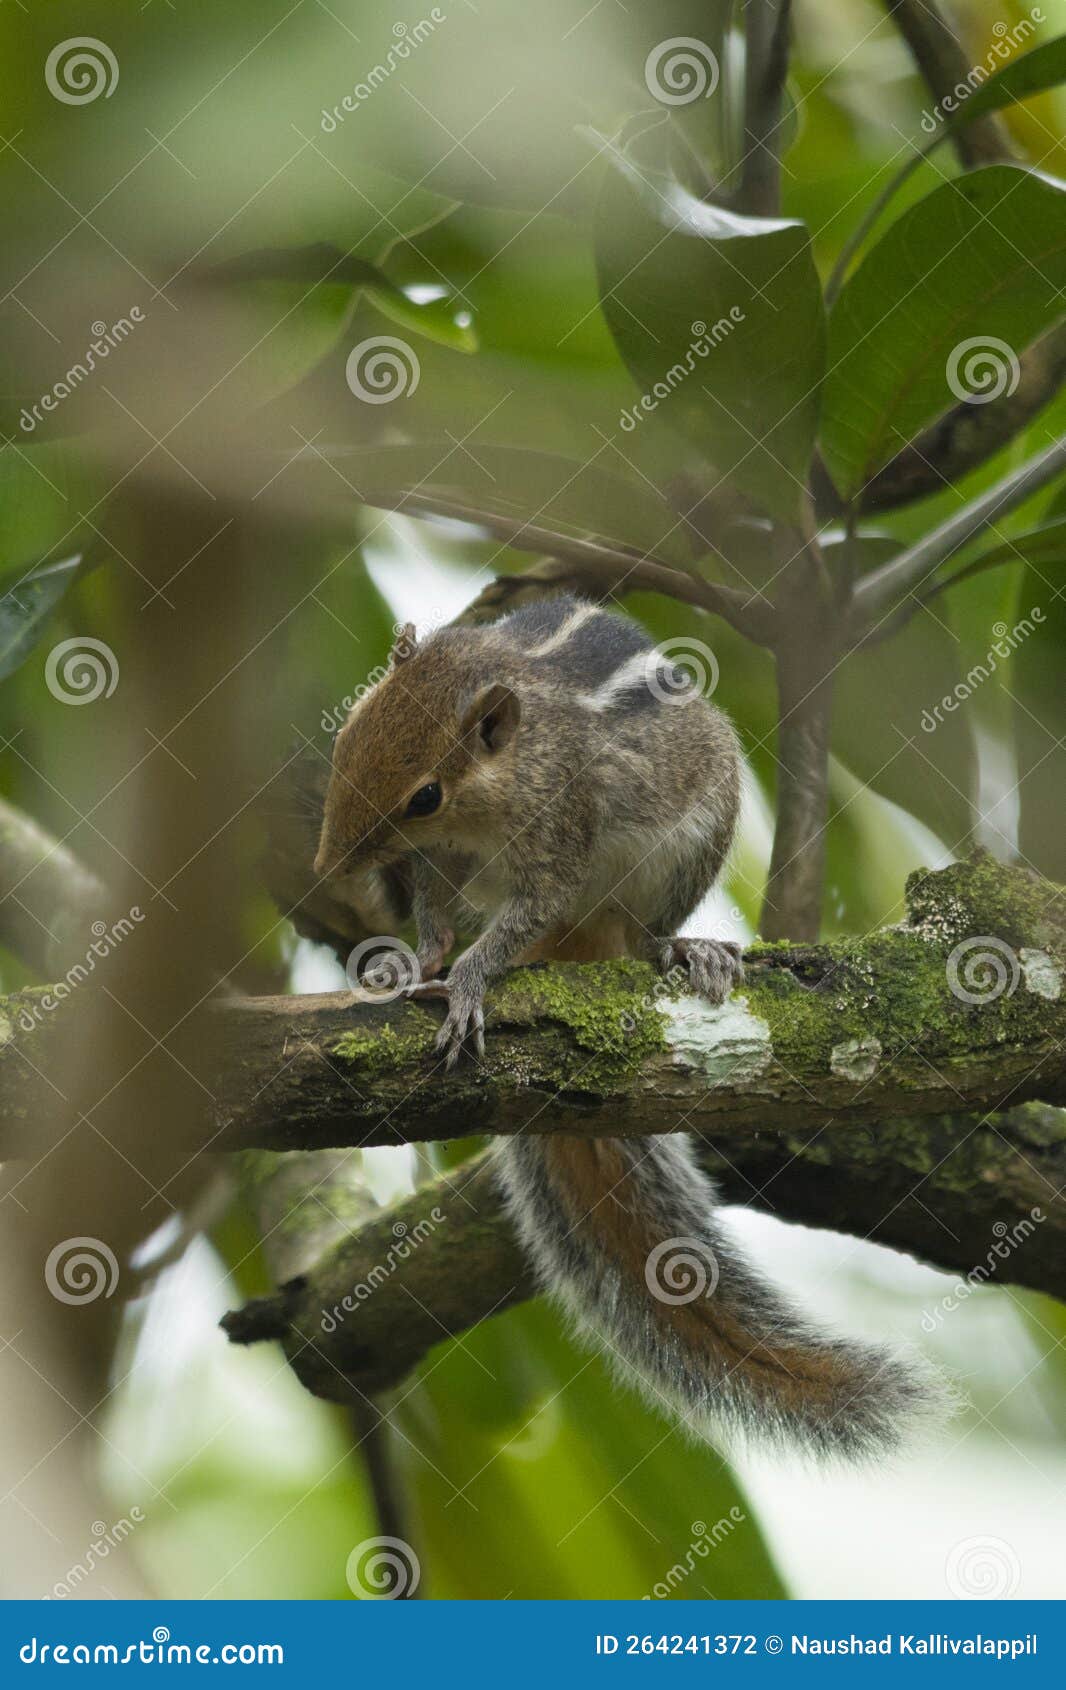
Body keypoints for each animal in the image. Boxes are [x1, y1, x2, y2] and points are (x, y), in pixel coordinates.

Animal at [314, 592, 938, 1458]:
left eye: (424, 796)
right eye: (350, 734)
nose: (326, 868)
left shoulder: (561, 830)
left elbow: (519, 917)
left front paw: (469, 981)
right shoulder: (439, 862)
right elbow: (437, 916)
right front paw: (420, 962)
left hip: (687, 845)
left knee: (641, 934)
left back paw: (684, 950)